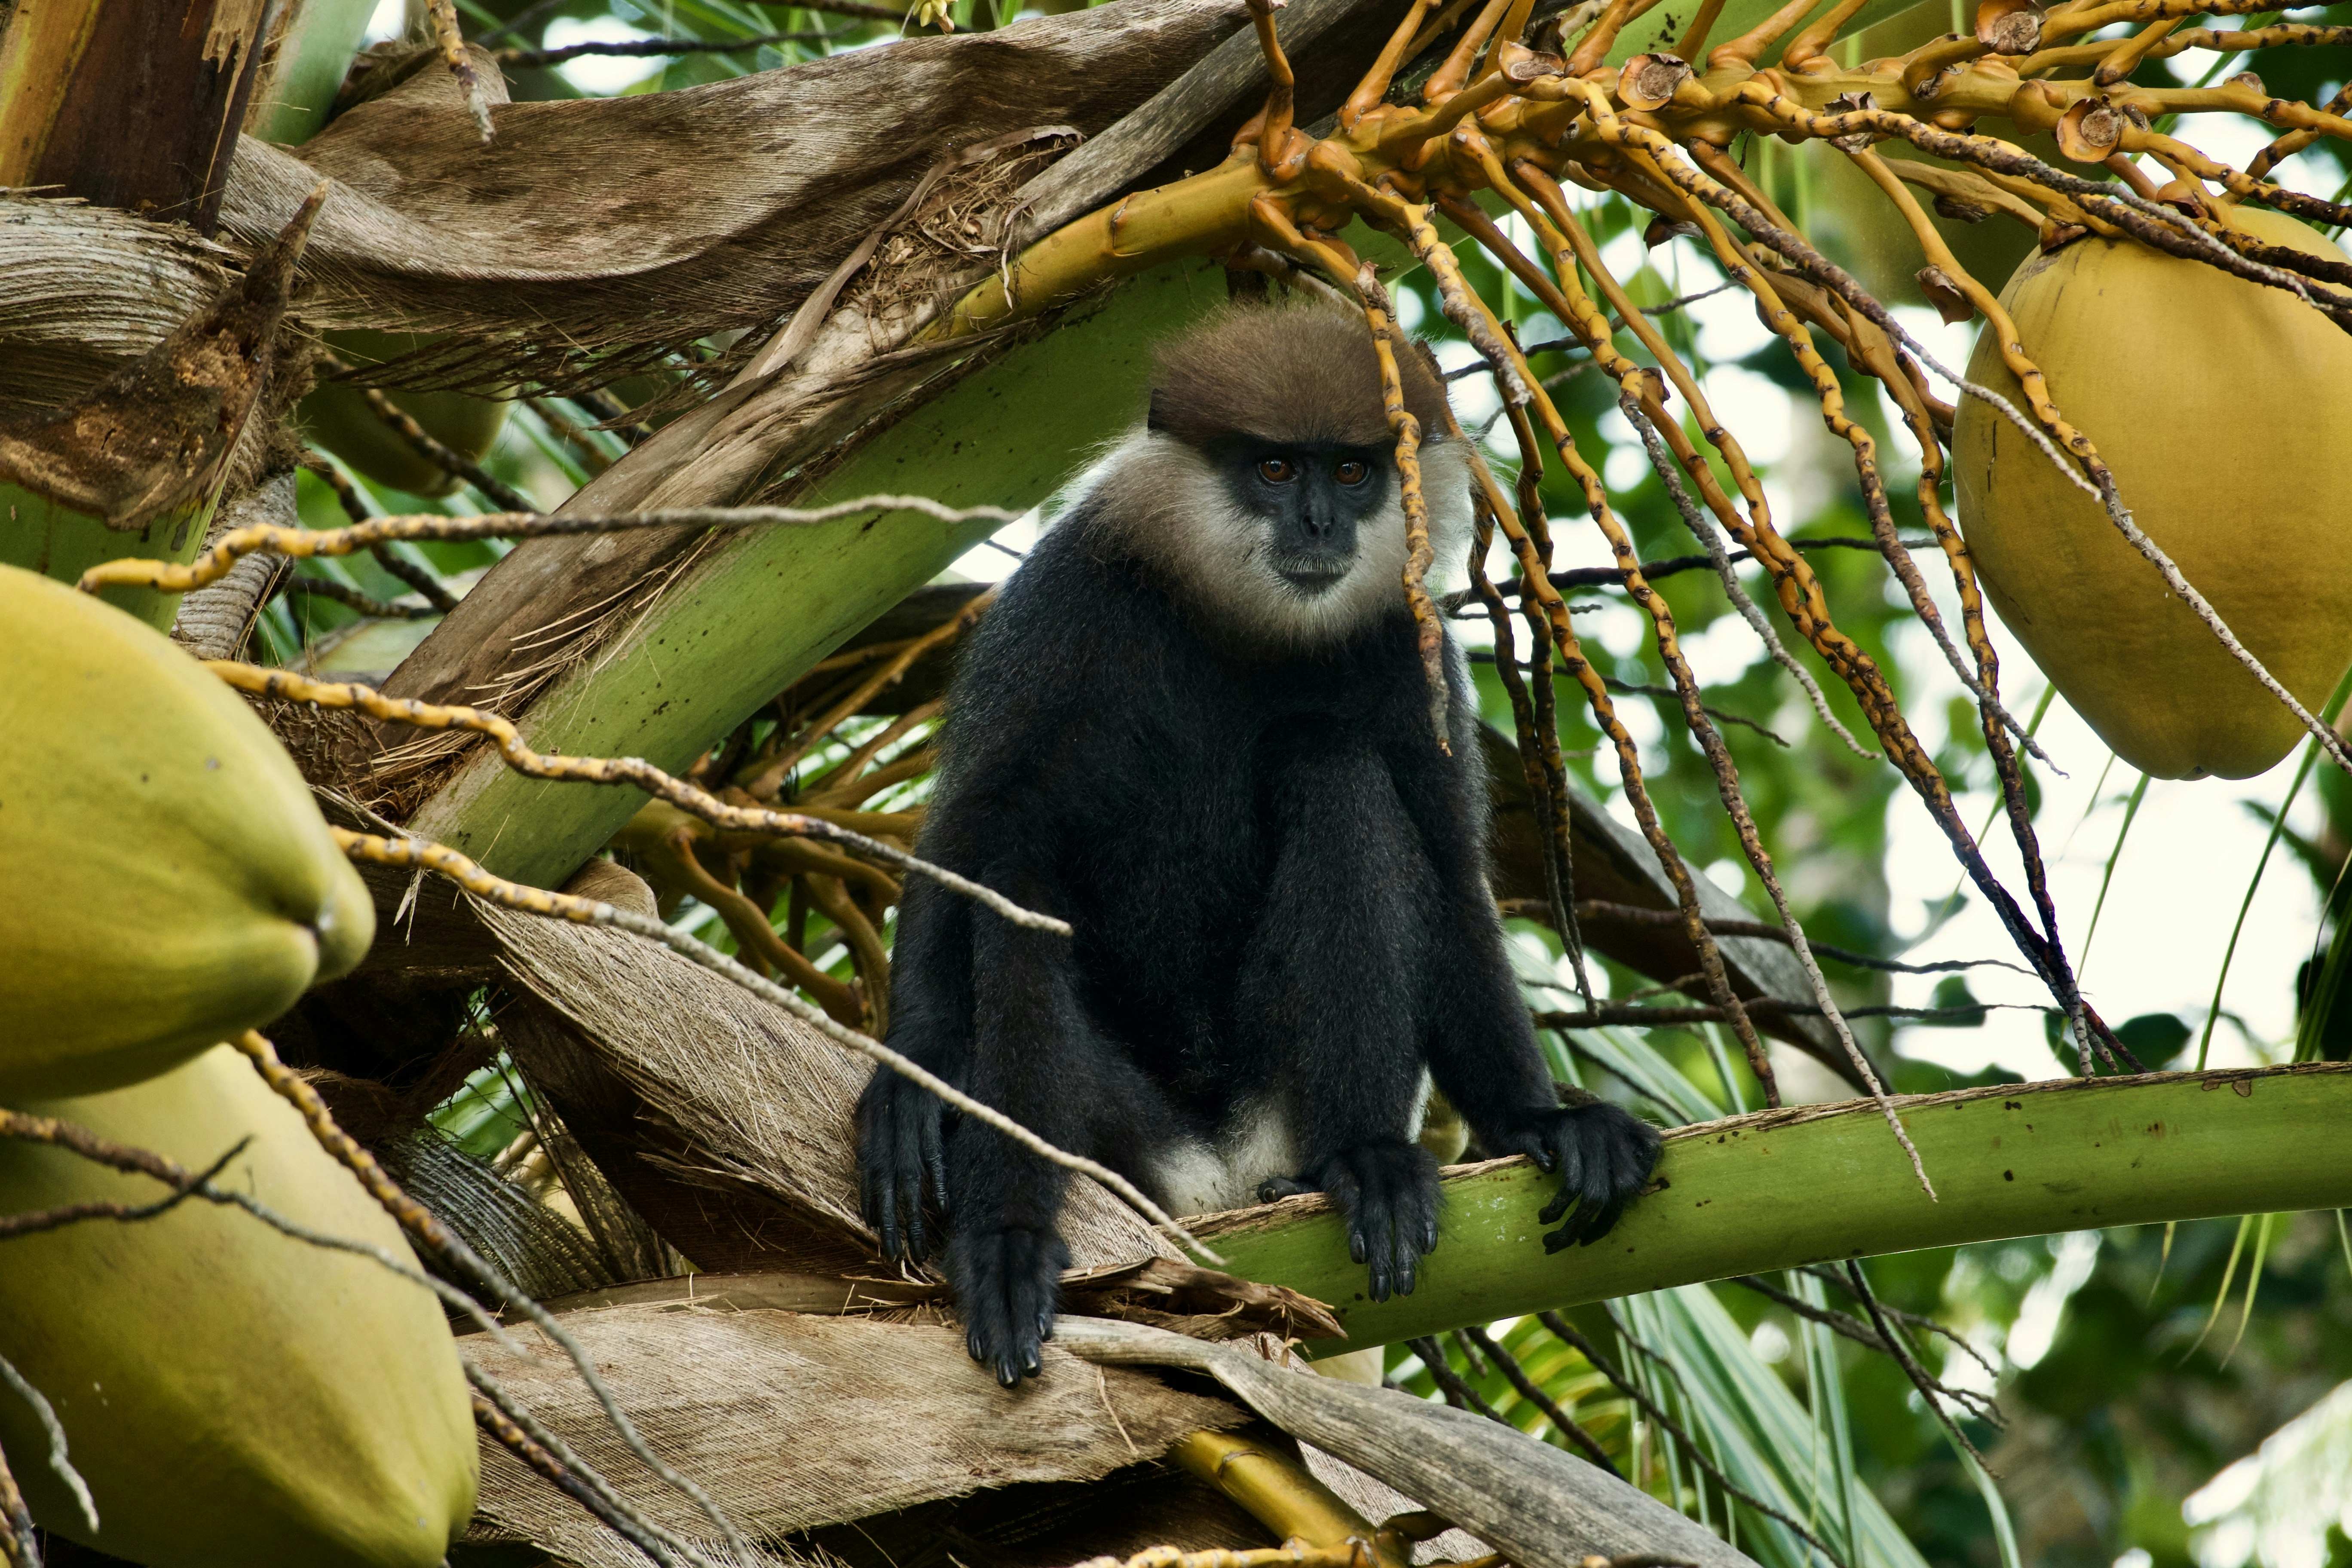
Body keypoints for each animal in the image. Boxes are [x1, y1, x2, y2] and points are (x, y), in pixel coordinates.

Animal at [856, 299, 1662, 1388]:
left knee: (1332, 765)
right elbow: (972, 831)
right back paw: (1011, 1242)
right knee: (1024, 874)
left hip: (1280, 1109)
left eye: (1353, 472)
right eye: (1275, 470)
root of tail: (1219, 1183)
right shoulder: (1062, 597)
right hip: (1125, 1147)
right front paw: (909, 1083)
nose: (1319, 524)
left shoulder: (1409, 649)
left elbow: (1451, 872)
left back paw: (1365, 1164)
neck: (1245, 625)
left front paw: (1538, 1121)